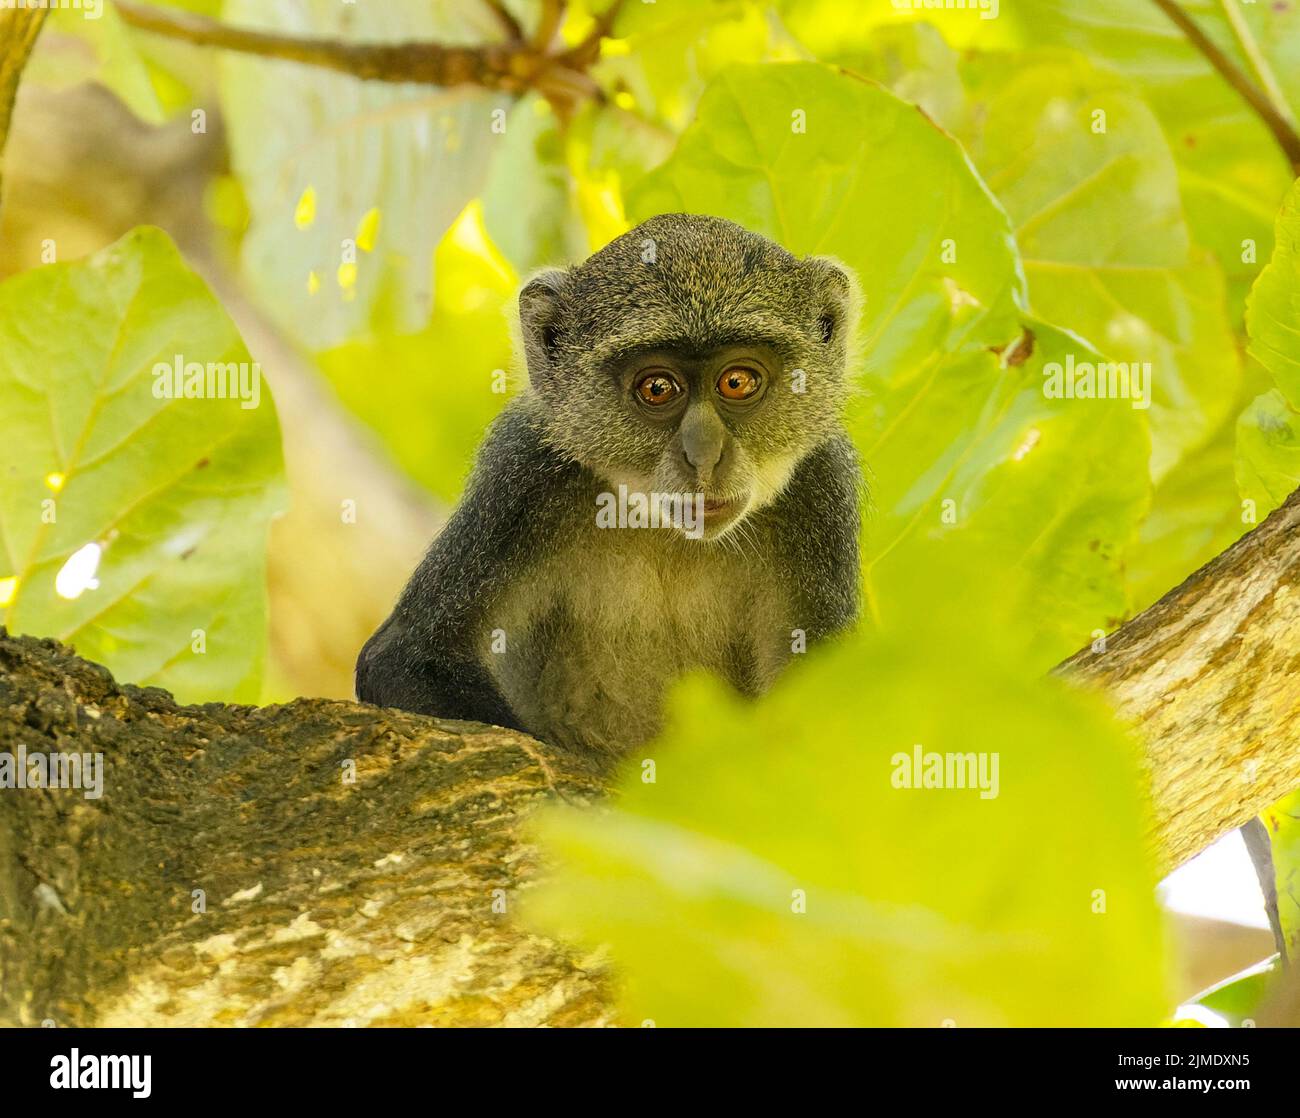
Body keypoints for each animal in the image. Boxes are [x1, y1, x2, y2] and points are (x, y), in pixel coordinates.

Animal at [355, 213, 862, 756]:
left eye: (737, 382)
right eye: (658, 388)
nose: (703, 456)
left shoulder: (822, 489)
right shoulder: (520, 476)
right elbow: (405, 659)